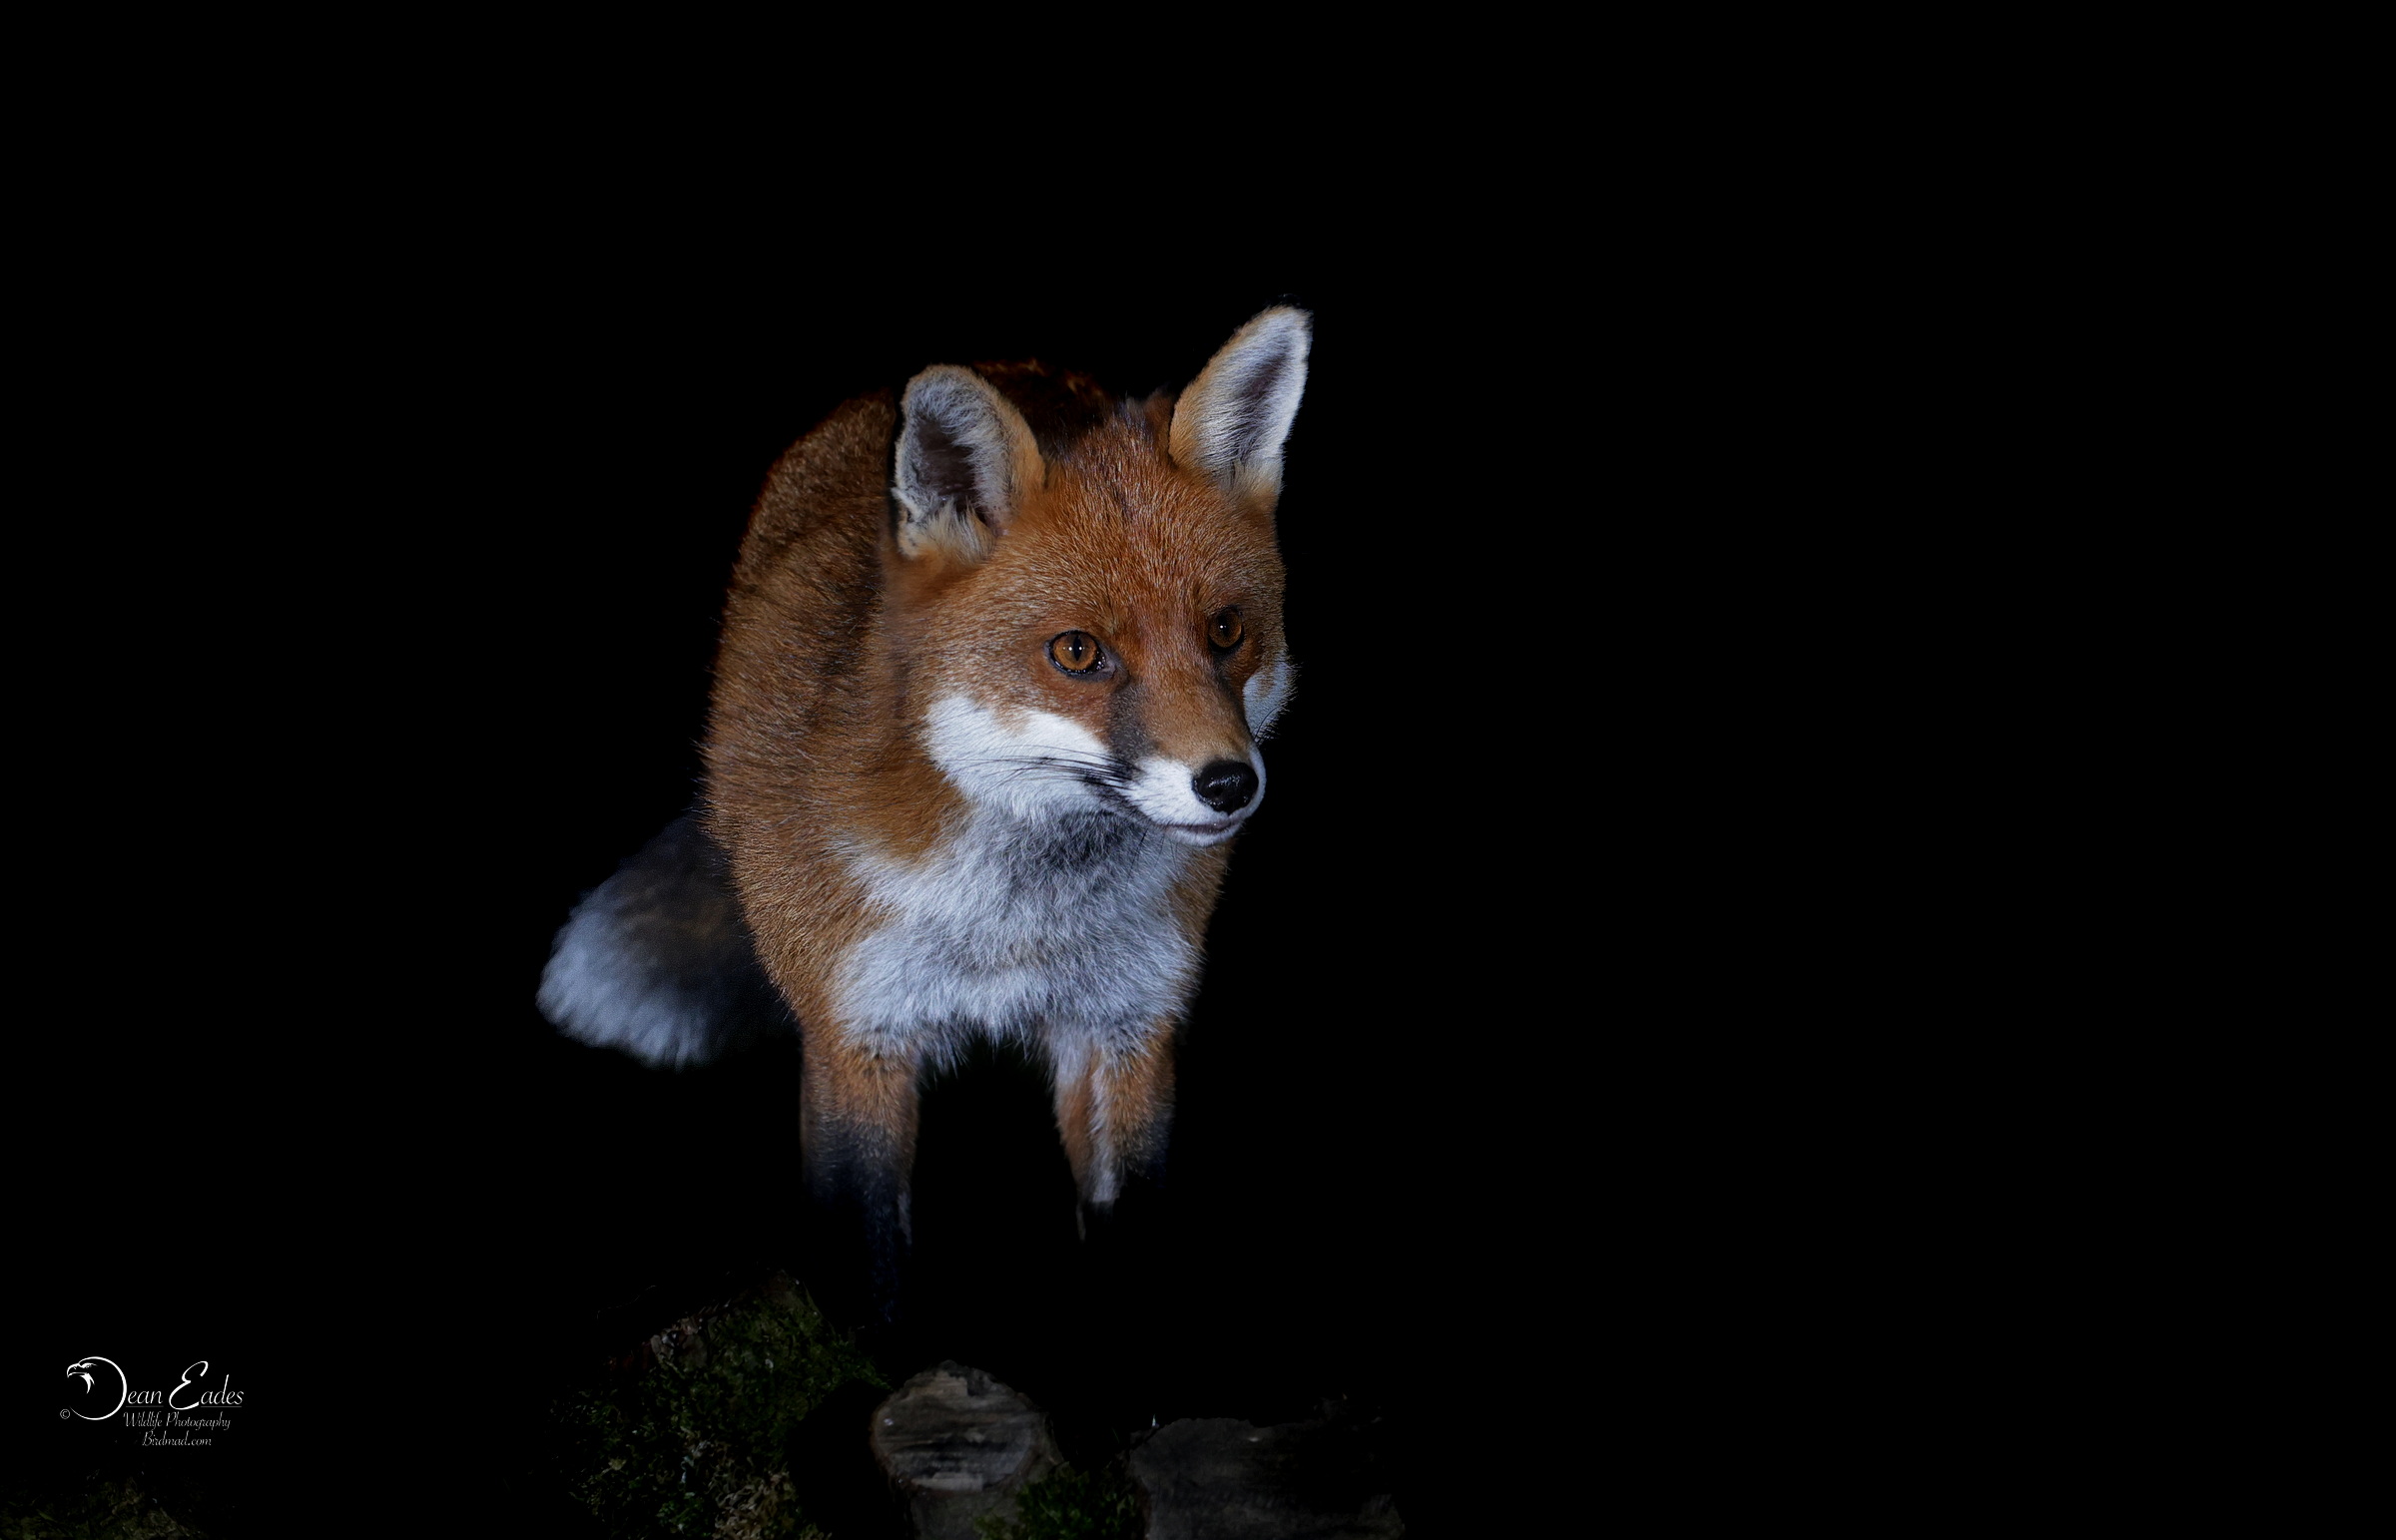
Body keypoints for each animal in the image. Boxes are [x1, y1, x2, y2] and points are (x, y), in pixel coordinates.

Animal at [538, 306, 1311, 1316]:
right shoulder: (855, 1035)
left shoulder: (1128, 1027)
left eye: (1226, 630)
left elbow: (1128, 1243)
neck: (1013, 931)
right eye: (1078, 652)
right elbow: (870, 1263)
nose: (1228, 784)